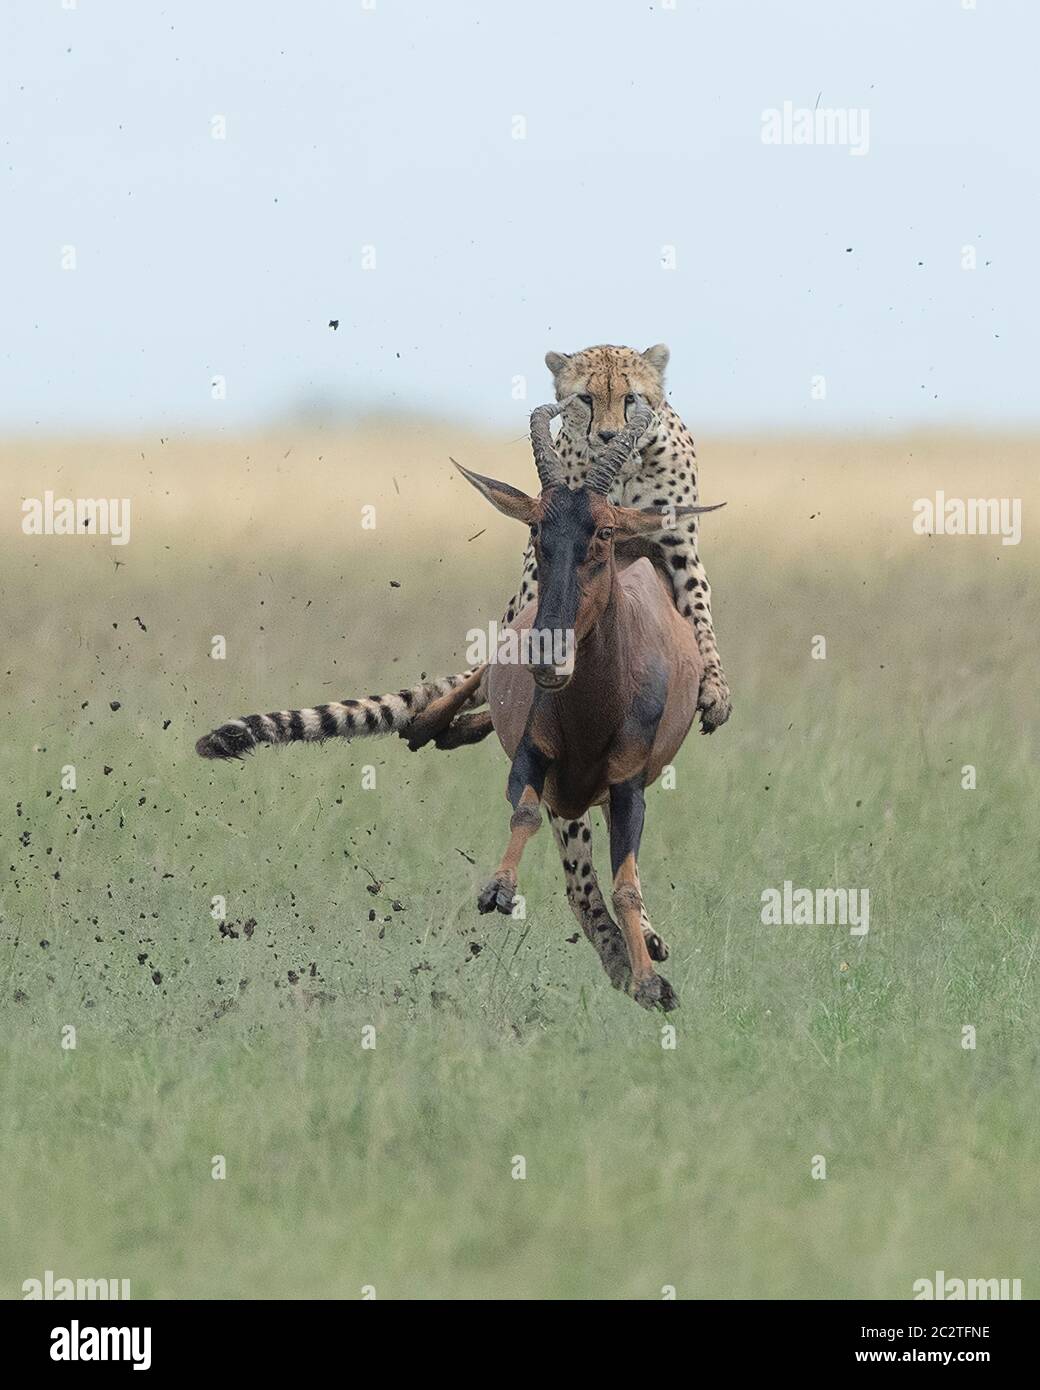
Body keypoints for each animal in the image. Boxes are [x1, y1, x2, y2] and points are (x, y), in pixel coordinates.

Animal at [456, 394, 722, 1011]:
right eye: (536, 528)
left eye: (602, 532)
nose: (546, 658)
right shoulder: (532, 755)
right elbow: (525, 811)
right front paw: (498, 890)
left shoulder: (628, 785)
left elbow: (626, 885)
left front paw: (652, 983)